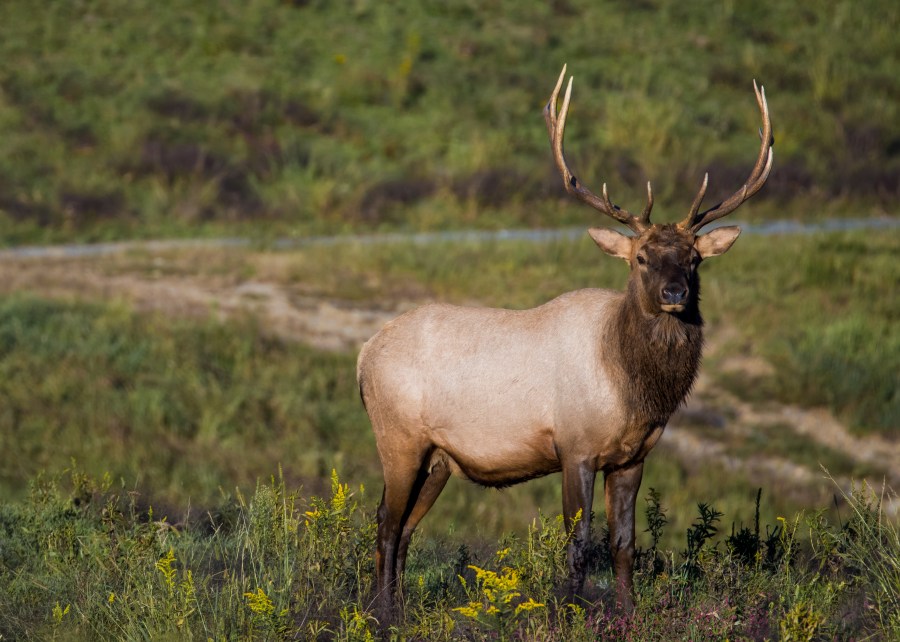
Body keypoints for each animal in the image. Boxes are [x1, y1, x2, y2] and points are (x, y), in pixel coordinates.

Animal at [357, 64, 773, 623]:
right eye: (641, 258)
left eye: (694, 258)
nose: (675, 293)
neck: (633, 388)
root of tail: (363, 356)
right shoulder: (574, 446)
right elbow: (577, 545)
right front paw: (570, 612)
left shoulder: (632, 457)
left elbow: (623, 544)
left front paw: (628, 616)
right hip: (398, 437)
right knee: (385, 519)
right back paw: (382, 612)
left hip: (439, 457)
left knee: (405, 527)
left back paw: (400, 610)